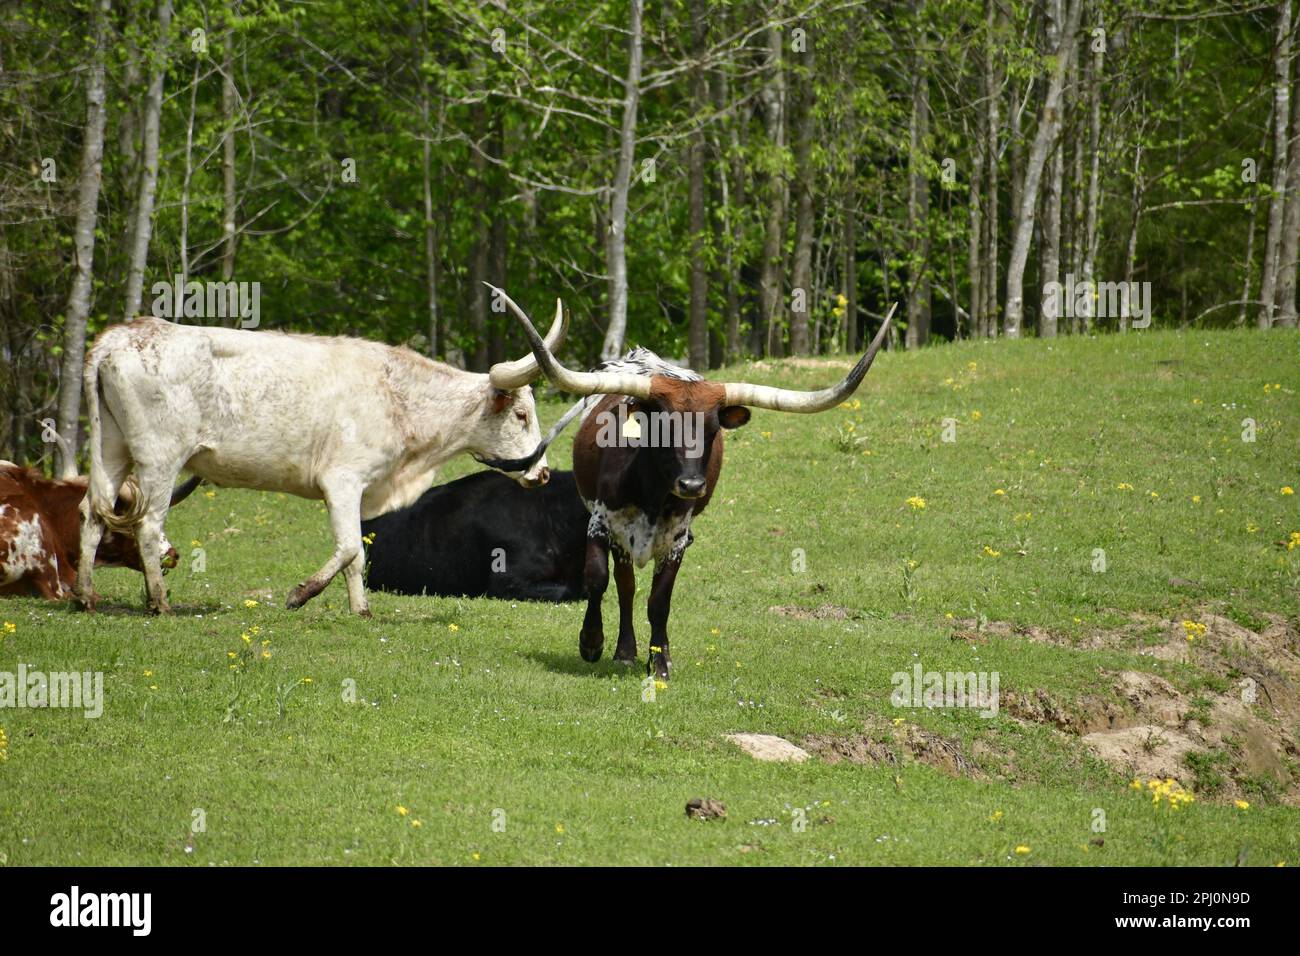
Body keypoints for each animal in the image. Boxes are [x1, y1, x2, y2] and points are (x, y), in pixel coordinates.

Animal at [499, 288, 895, 679]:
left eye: (712, 429)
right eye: (662, 426)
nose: (690, 485)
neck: (651, 494)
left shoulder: (677, 539)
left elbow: (659, 601)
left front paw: (660, 663)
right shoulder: (600, 522)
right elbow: (599, 580)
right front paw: (591, 643)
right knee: (625, 586)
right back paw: (623, 651)